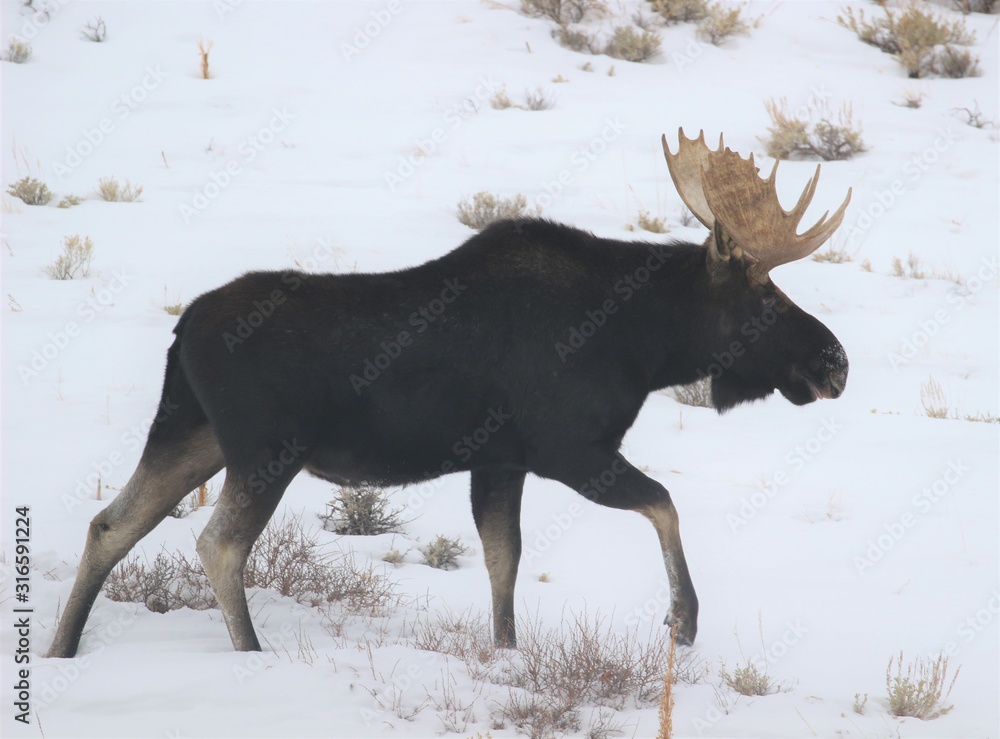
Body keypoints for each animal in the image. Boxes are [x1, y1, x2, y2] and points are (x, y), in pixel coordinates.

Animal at [47, 129, 850, 658]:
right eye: (764, 296)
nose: (835, 361)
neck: (642, 346)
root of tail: (182, 330)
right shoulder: (570, 447)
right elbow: (664, 503)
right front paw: (683, 622)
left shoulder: (500, 461)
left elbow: (503, 560)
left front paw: (507, 652)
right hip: (264, 448)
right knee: (217, 544)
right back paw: (251, 654)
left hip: (191, 432)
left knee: (110, 524)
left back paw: (62, 648)